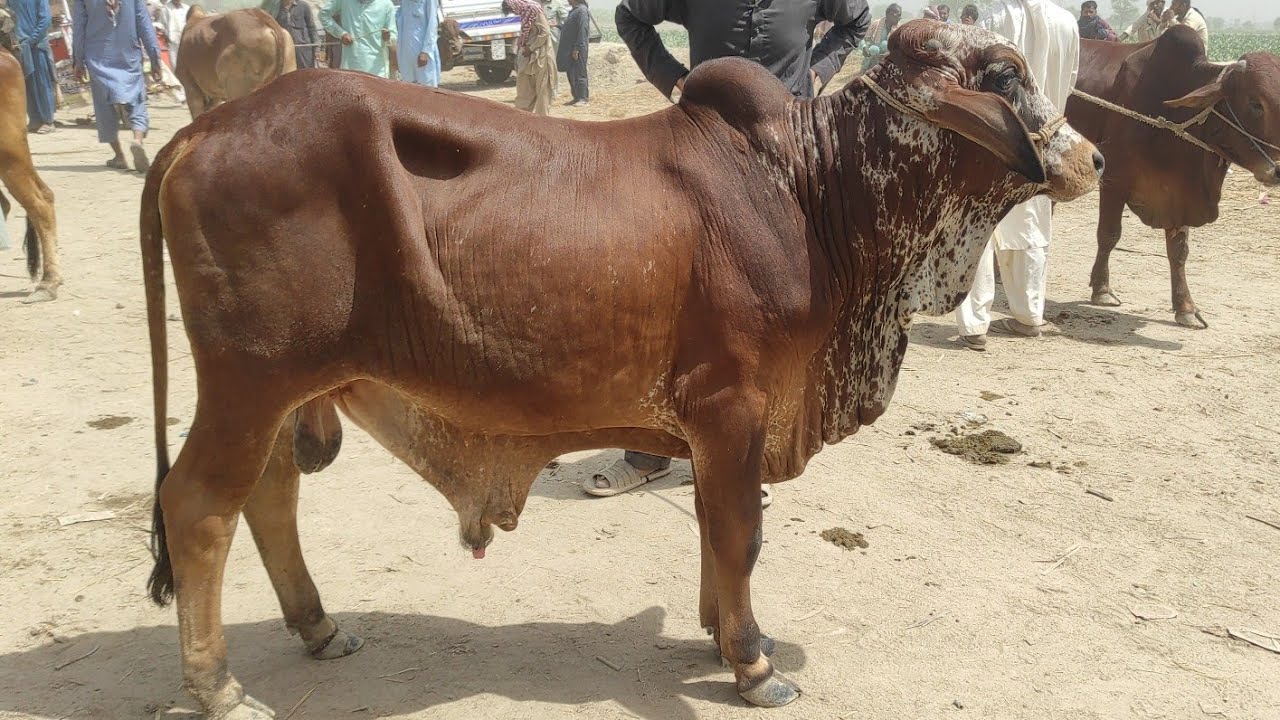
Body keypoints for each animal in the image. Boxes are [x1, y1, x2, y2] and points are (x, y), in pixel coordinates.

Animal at [138, 20, 1101, 718]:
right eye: (1004, 74)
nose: (1091, 157)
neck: (808, 188)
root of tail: (202, 127)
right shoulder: (731, 402)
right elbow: (741, 533)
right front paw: (754, 664)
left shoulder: (717, 426)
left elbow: (716, 525)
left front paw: (719, 635)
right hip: (249, 382)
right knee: (198, 508)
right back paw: (219, 689)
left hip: (277, 390)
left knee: (267, 495)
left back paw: (316, 626)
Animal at [1066, 27, 1280, 328]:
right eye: (1255, 103)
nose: (1278, 170)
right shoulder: (1114, 181)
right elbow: (1109, 235)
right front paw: (1102, 290)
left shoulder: (1179, 195)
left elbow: (1178, 251)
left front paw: (1186, 308)